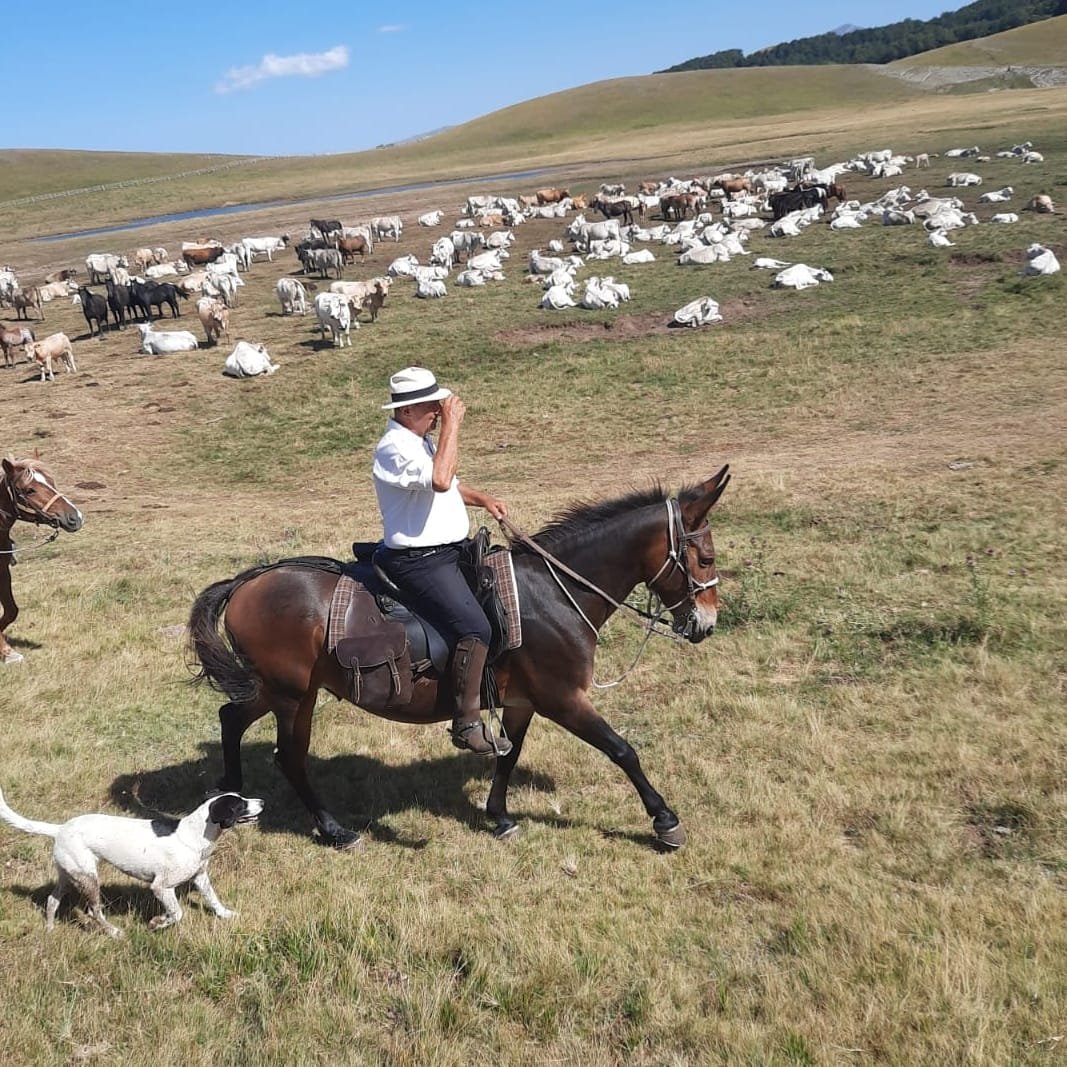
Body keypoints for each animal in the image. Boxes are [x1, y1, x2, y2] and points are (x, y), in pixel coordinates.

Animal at [0, 456, 84, 664]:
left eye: (52, 483)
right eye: (29, 490)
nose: (75, 517)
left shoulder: (4, 571)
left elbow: (11, 610)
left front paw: (7, 651)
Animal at [188, 467, 730, 851]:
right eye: (704, 559)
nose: (705, 624)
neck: (554, 592)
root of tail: (248, 582)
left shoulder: (523, 701)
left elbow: (509, 755)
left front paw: (500, 816)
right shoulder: (564, 699)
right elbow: (622, 751)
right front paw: (665, 822)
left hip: (276, 688)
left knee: (231, 717)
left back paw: (229, 793)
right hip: (292, 695)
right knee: (290, 756)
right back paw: (333, 830)